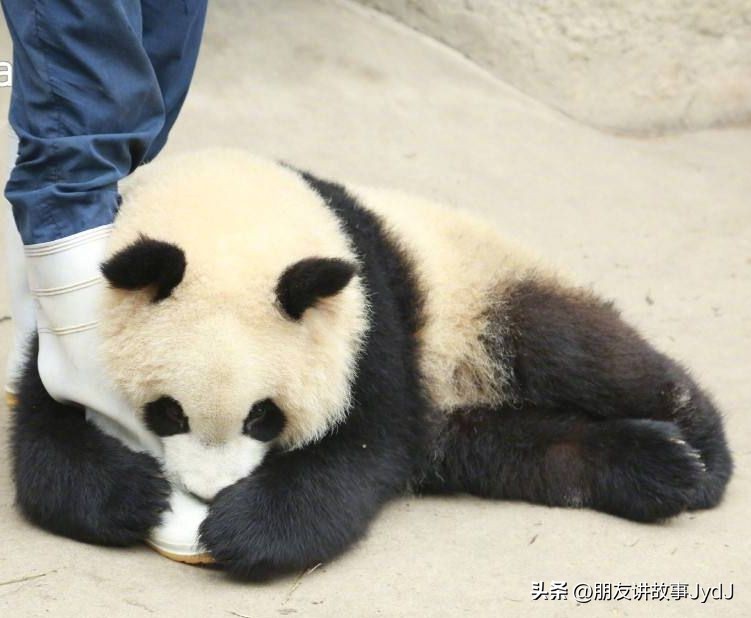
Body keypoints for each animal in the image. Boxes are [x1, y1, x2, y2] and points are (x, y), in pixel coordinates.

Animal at [11, 148, 733, 580]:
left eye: (263, 418)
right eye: (167, 413)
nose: (211, 492)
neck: (227, 202)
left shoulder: (372, 317)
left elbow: (365, 449)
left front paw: (241, 528)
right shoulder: (71, 329)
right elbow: (46, 440)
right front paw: (136, 494)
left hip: (476, 296)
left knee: (578, 353)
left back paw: (700, 456)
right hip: (467, 418)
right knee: (527, 449)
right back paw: (652, 468)